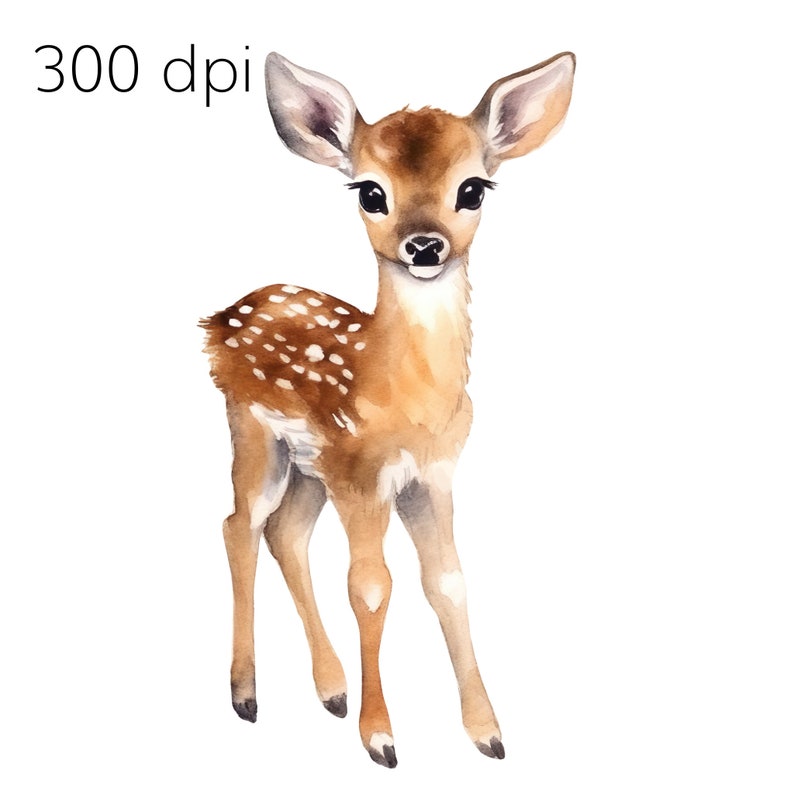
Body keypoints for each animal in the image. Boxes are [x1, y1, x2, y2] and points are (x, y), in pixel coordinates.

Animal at [202, 50, 575, 768]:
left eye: (473, 189)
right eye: (370, 192)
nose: (424, 246)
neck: (407, 400)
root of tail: (220, 319)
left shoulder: (429, 476)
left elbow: (449, 583)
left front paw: (488, 732)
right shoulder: (363, 476)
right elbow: (371, 587)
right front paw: (381, 738)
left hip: (312, 467)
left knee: (285, 534)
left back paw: (330, 688)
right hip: (255, 434)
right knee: (239, 525)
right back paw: (247, 693)